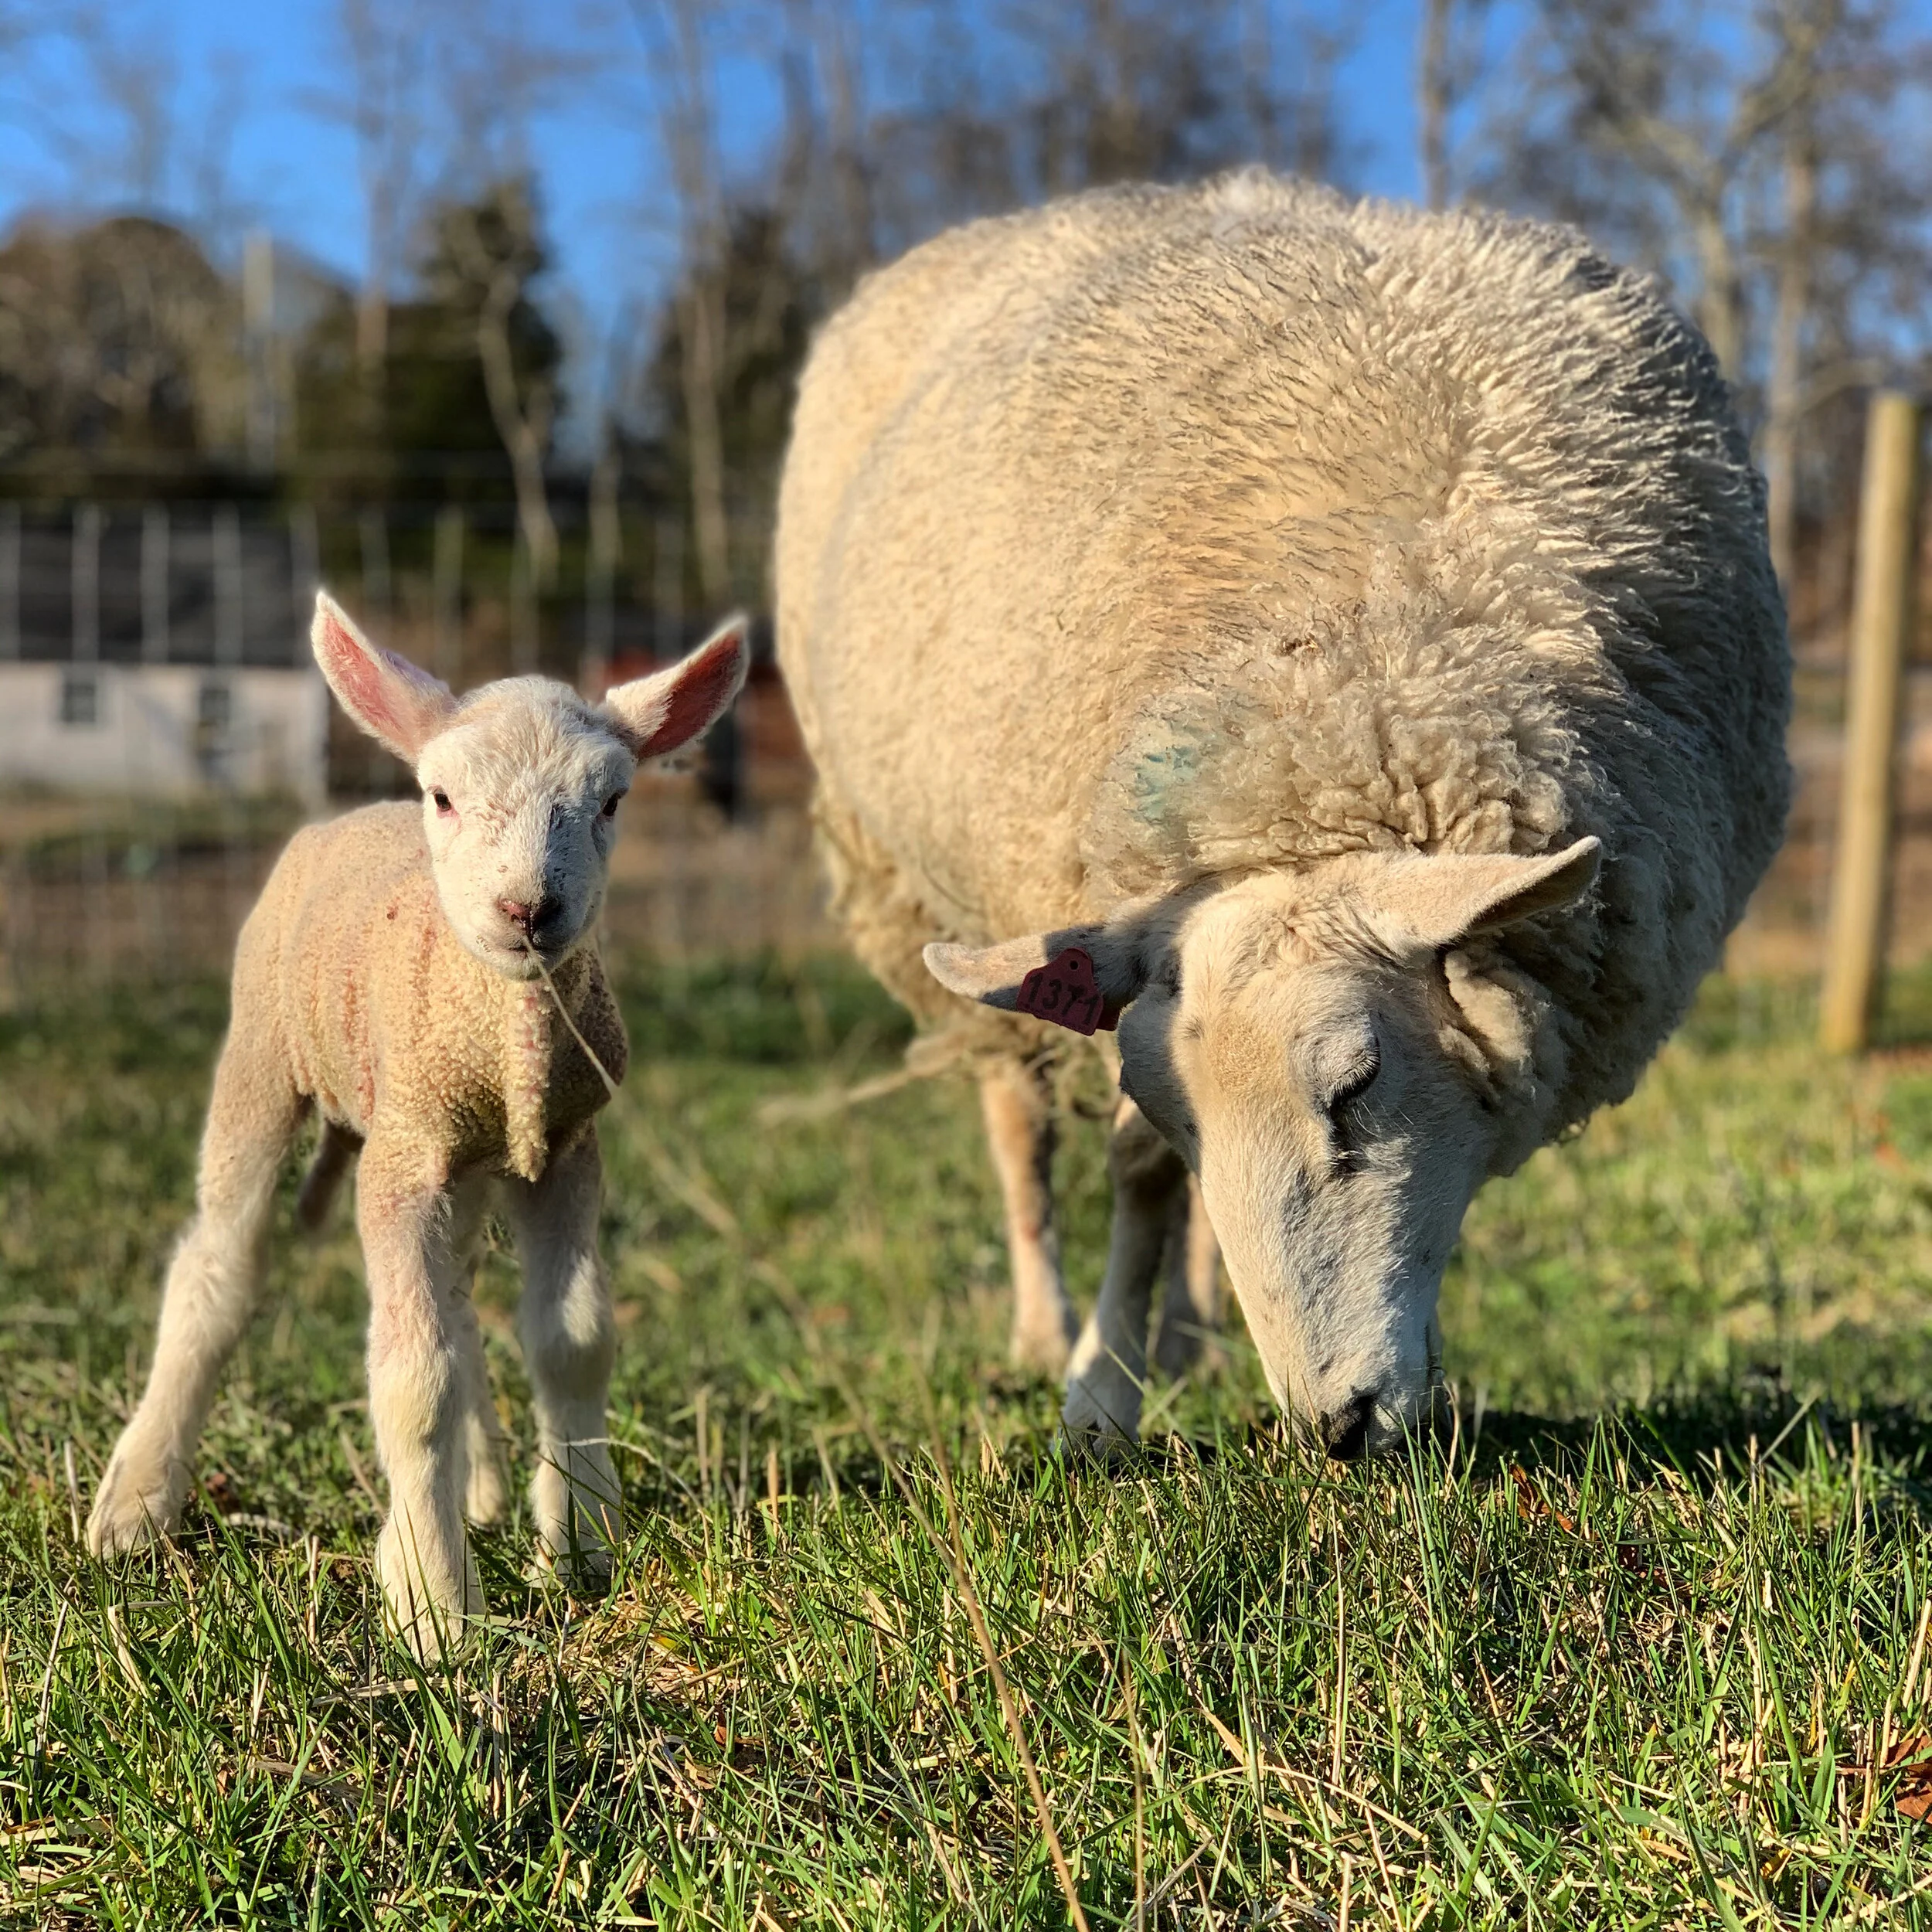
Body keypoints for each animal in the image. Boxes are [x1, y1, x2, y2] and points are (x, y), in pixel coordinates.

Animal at [87, 594, 750, 1654]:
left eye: (611, 802)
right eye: (443, 796)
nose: (528, 907)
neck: (508, 1038)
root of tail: (356, 812)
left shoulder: (563, 1148)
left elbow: (572, 1340)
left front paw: (580, 1548)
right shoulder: (401, 1161)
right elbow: (413, 1379)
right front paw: (435, 1609)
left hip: (464, 1159)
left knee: (464, 1306)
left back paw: (475, 1491)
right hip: (264, 1059)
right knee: (217, 1269)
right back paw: (136, 1504)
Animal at [775, 172, 1790, 1455]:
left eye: (1357, 1089)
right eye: (1181, 1118)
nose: (1336, 1428)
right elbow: (1137, 1181)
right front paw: (1098, 1397)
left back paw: (1196, 1333)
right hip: (922, 893)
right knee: (1017, 1122)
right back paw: (1049, 1328)